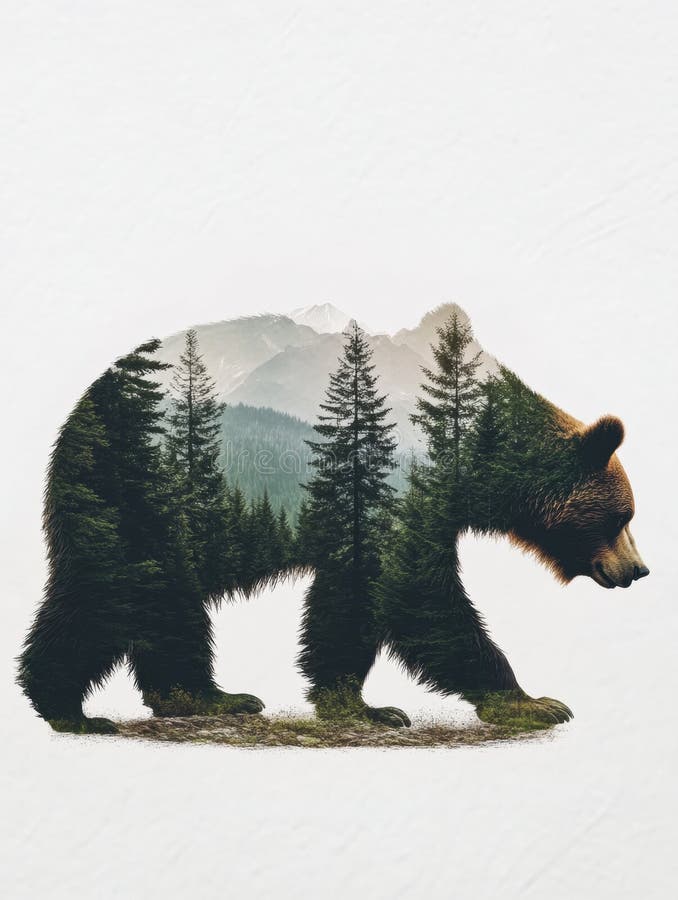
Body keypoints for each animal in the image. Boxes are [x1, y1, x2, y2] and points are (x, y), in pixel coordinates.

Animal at [17, 312, 649, 734]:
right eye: (622, 515)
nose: (638, 570)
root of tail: (80, 411)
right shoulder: (396, 490)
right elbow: (420, 598)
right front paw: (532, 701)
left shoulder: (367, 510)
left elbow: (352, 602)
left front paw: (361, 703)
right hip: (138, 490)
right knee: (110, 596)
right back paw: (69, 708)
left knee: (163, 605)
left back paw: (206, 697)